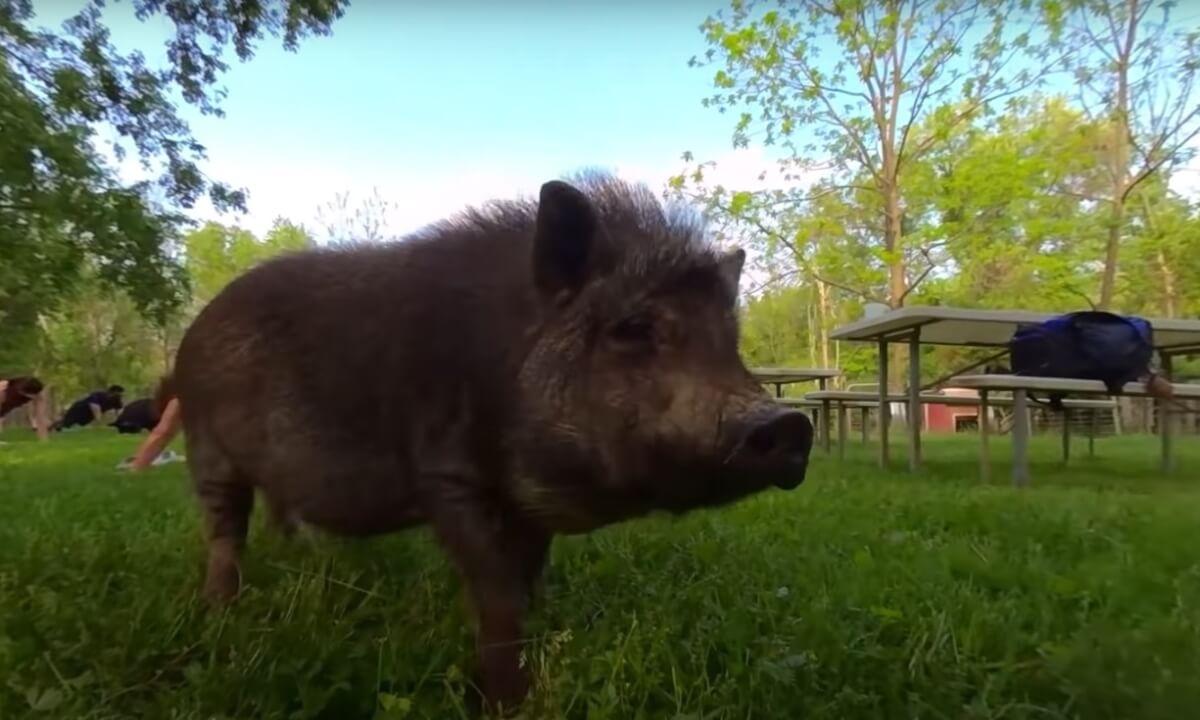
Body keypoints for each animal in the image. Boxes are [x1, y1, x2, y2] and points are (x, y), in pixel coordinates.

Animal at [171, 171, 813, 712]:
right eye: (632, 328)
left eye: (729, 338)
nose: (790, 422)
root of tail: (189, 337)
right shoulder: (447, 477)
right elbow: (498, 592)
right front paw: (507, 703)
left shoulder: (525, 504)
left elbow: (529, 579)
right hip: (206, 446)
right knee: (224, 531)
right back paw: (220, 612)